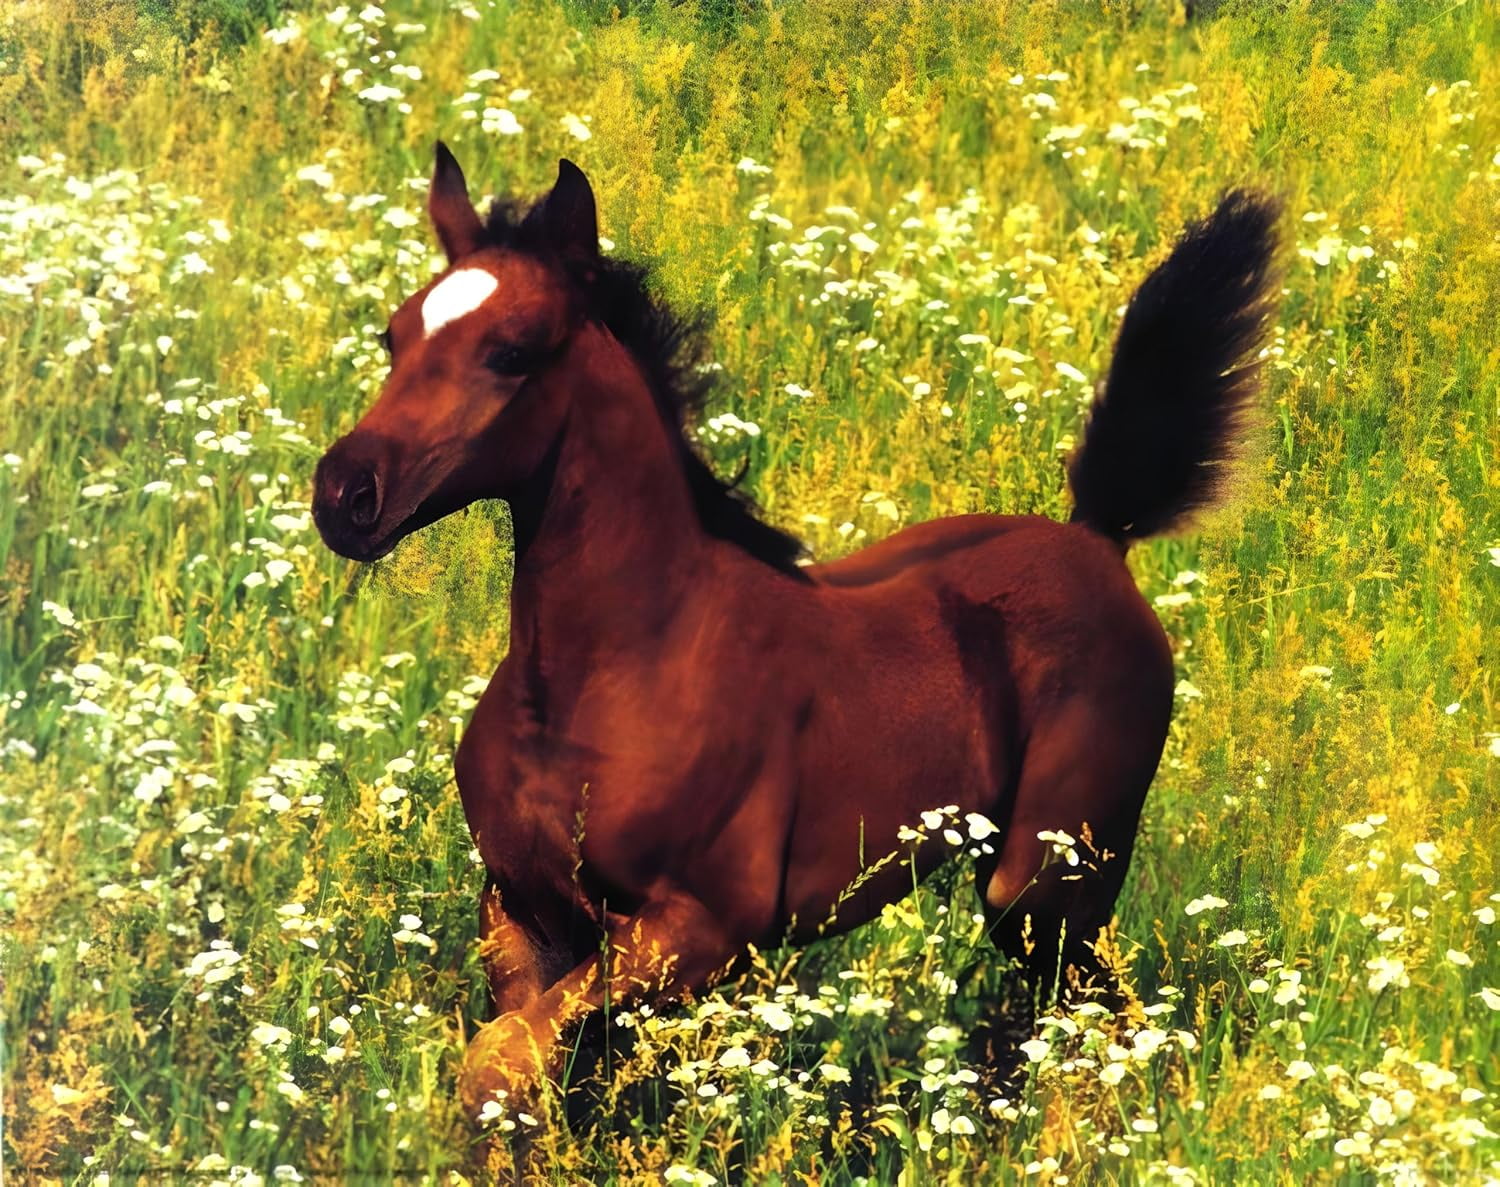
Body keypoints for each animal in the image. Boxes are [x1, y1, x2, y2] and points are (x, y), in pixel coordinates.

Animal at [312, 144, 1278, 1120]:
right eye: (396, 335)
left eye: (512, 351)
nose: (345, 494)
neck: (614, 669)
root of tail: (1098, 538)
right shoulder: (524, 912)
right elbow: (524, 1079)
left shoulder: (702, 926)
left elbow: (499, 1059)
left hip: (1047, 884)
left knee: (1107, 1018)